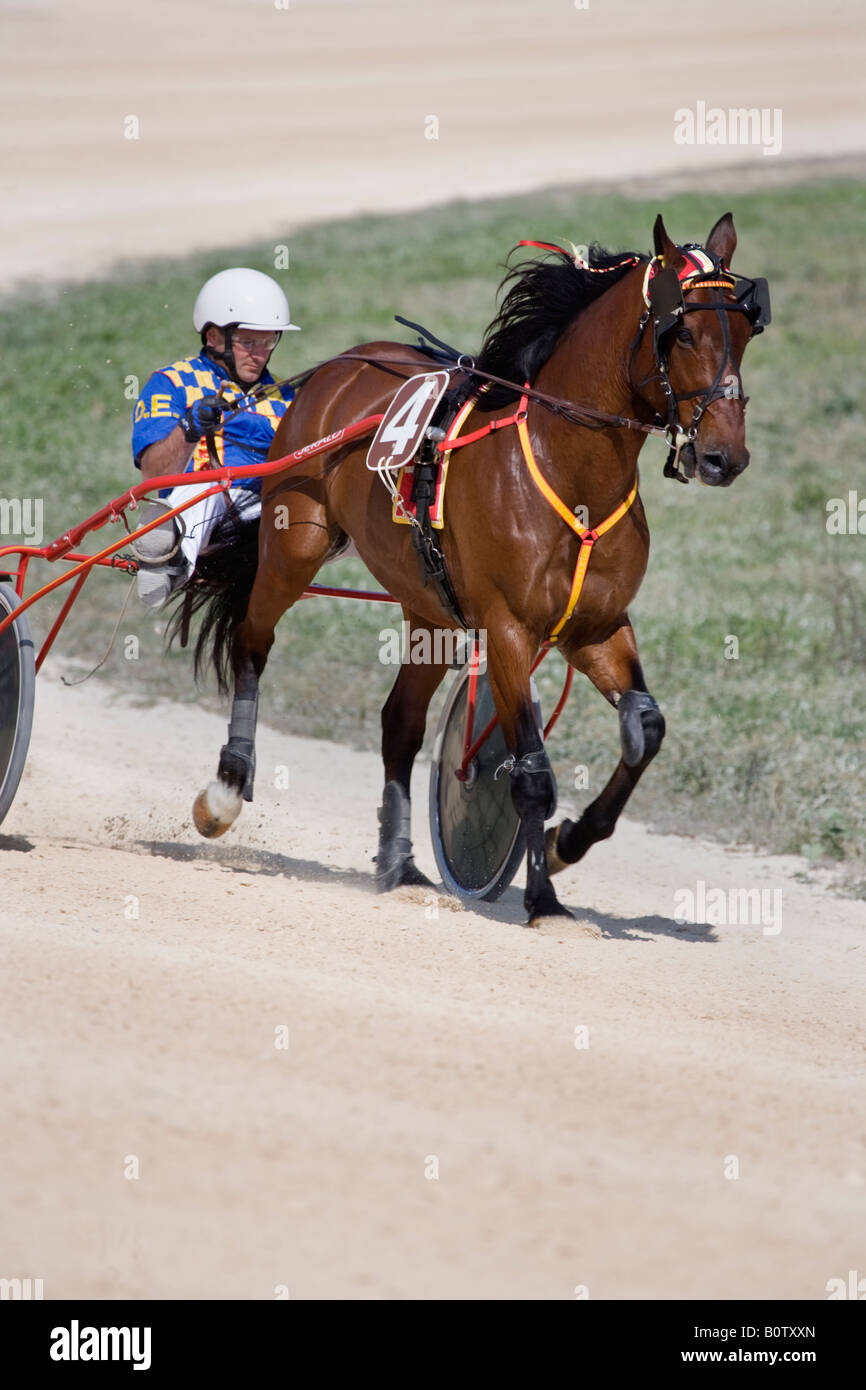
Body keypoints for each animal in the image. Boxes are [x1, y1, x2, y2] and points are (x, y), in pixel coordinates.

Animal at [177, 212, 769, 927]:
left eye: (745, 332)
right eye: (681, 331)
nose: (724, 457)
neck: (568, 469)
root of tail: (337, 366)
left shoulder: (595, 628)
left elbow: (645, 729)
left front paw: (568, 843)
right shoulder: (507, 630)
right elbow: (532, 773)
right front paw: (544, 899)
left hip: (429, 610)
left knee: (399, 725)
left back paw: (399, 864)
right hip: (294, 549)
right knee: (253, 645)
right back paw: (227, 789)